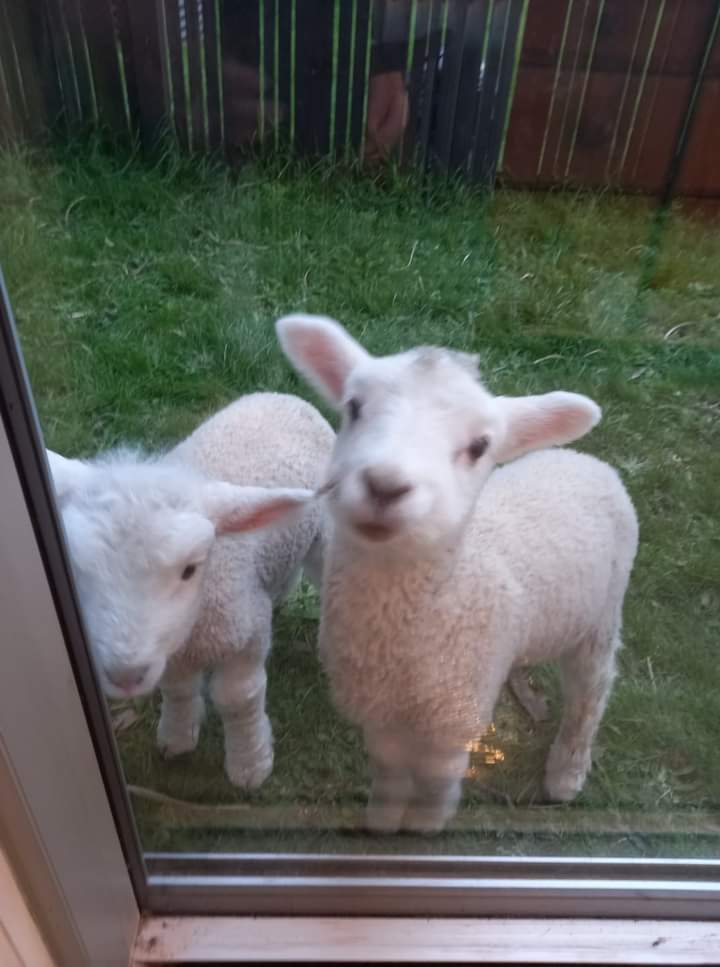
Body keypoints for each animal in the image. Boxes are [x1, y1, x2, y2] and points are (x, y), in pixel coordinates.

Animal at [47, 392, 334, 790]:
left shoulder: (245, 636)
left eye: (189, 570)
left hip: (325, 534)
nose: (125, 676)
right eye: (74, 569)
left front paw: (250, 764)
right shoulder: (171, 651)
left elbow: (238, 698)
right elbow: (178, 688)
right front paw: (177, 737)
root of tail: (281, 396)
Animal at [274, 314, 639, 833]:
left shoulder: (454, 719)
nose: (385, 486)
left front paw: (426, 823)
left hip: (600, 616)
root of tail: (583, 460)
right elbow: (389, 767)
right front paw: (382, 819)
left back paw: (567, 772)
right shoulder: (380, 711)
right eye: (354, 407)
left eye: (479, 446)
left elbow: (436, 777)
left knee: (591, 692)